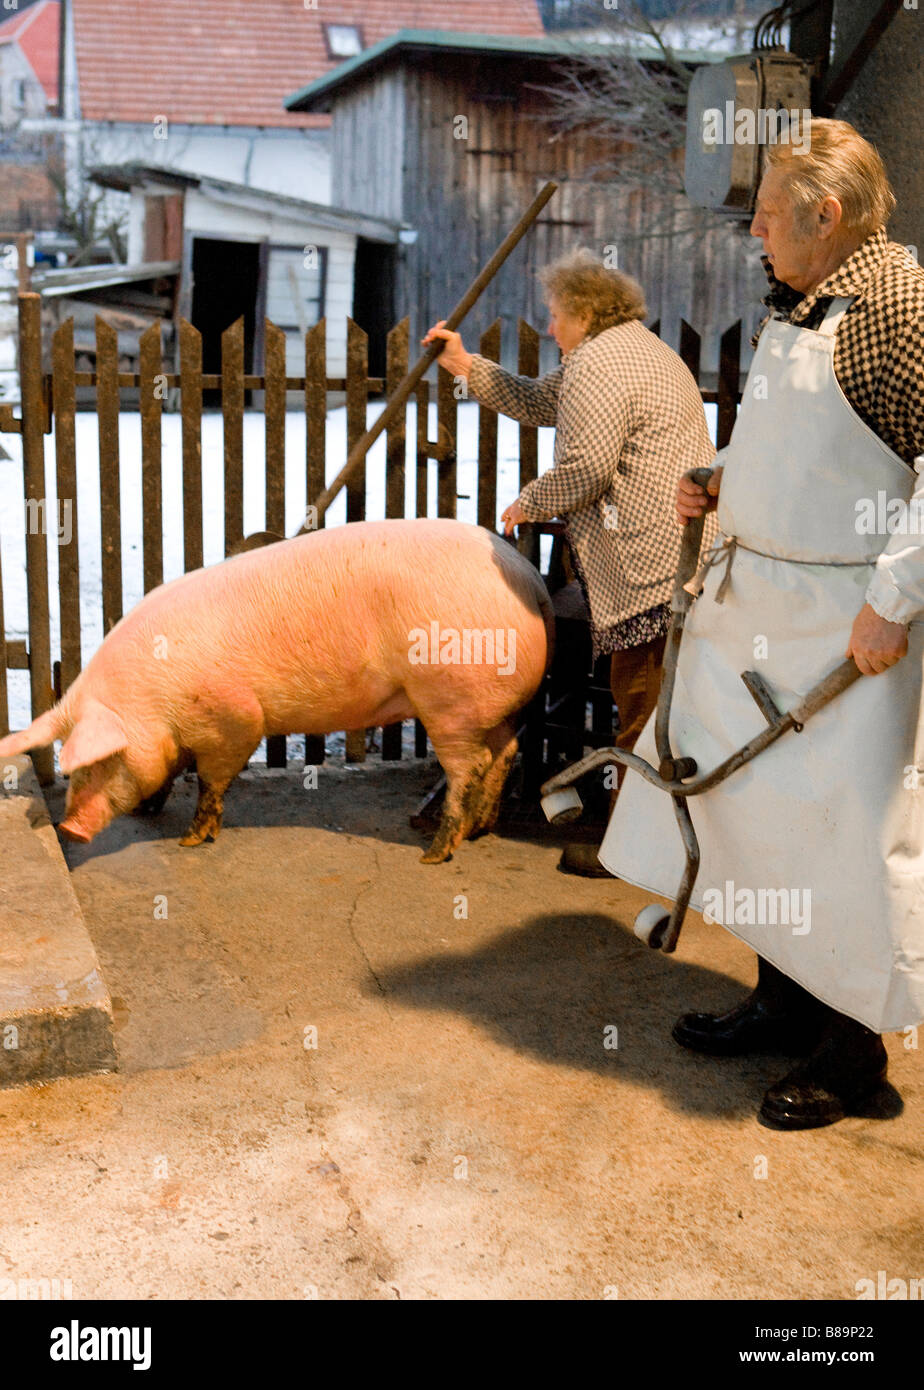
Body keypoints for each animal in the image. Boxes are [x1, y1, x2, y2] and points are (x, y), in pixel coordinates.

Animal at [0, 519, 553, 863]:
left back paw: (435, 853)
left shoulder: (234, 718)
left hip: (449, 700)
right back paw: (480, 830)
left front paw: (191, 840)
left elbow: (212, 780)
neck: (154, 700)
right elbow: (173, 769)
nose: (69, 828)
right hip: (491, 706)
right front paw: (149, 810)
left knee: (469, 767)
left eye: (100, 761)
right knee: (506, 752)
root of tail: (532, 582)